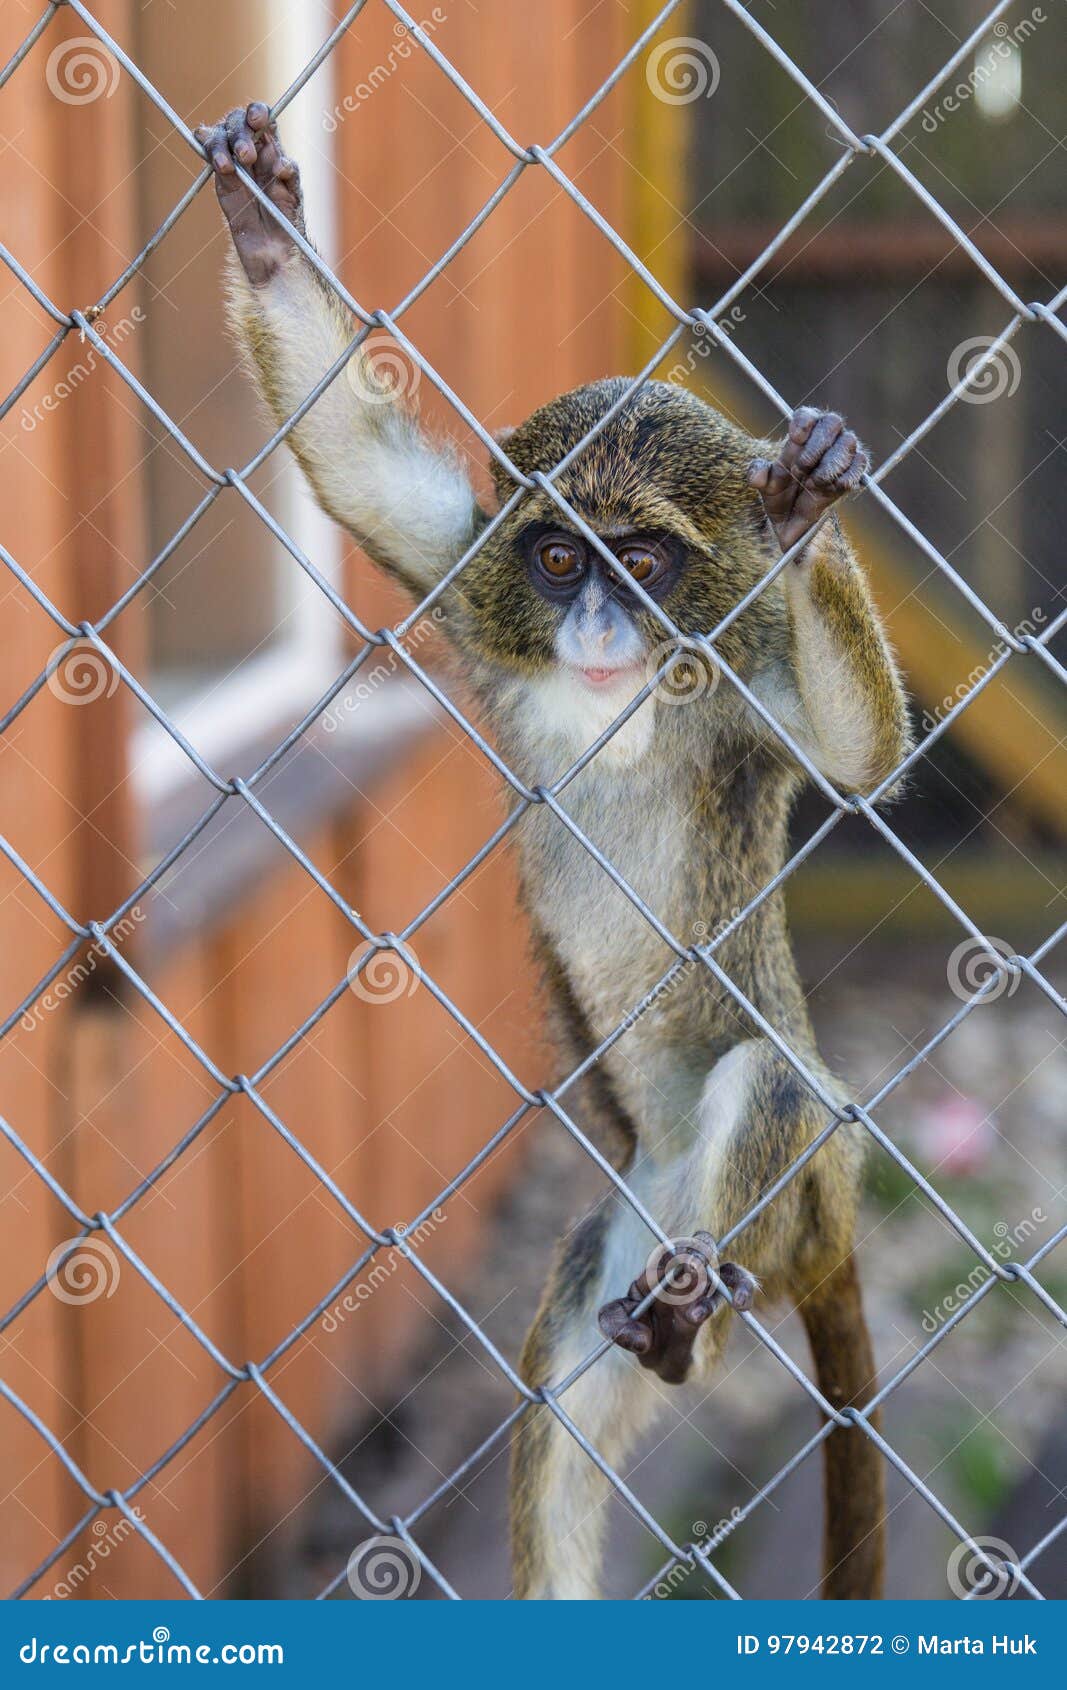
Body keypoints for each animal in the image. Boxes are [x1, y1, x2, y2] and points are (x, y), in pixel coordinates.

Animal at [197, 103, 911, 1601]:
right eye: (563, 559)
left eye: (641, 562)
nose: (592, 627)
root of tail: (819, 1234)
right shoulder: (480, 596)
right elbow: (367, 472)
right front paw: (263, 228)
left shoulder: (743, 698)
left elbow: (860, 758)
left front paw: (805, 514)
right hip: (621, 1232)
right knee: (568, 1402)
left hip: (770, 1208)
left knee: (771, 1083)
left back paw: (696, 1327)